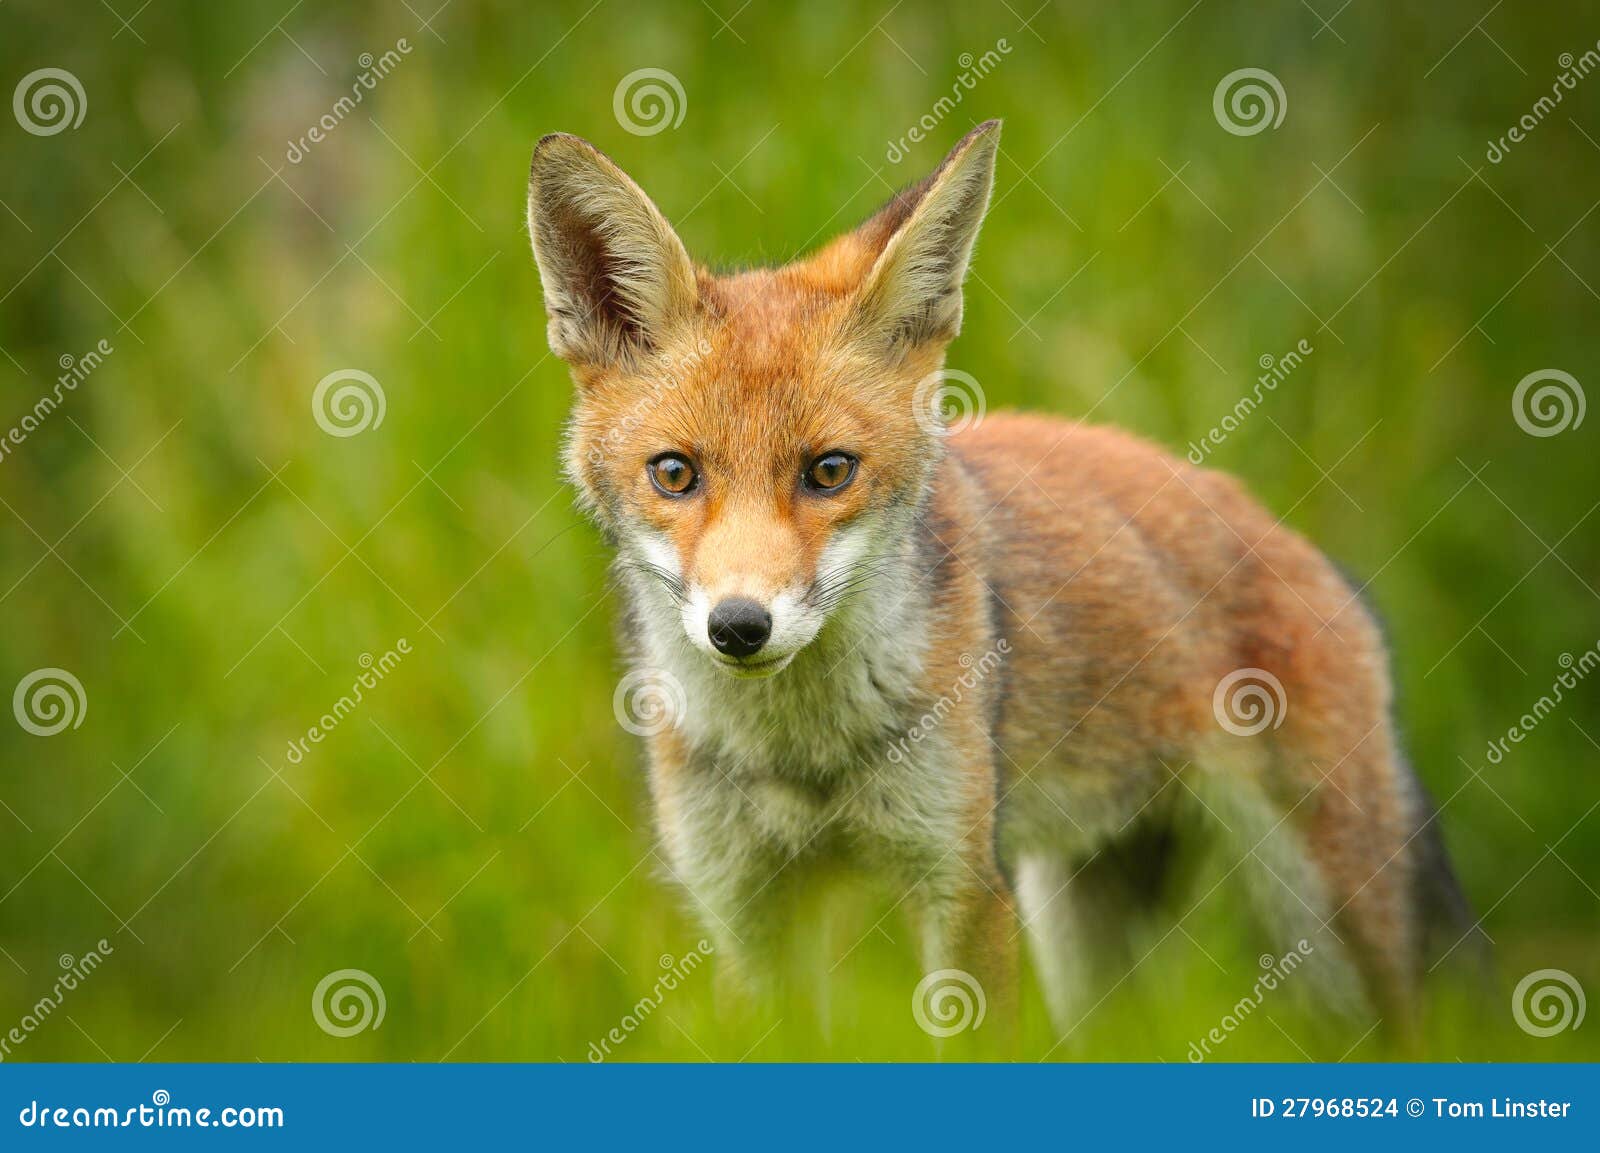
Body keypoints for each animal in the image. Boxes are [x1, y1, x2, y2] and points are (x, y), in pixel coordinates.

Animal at [525, 119, 1472, 1037]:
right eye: (674, 474)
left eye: (829, 471)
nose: (739, 626)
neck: (804, 758)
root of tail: (1298, 544)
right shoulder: (747, 915)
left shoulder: (965, 887)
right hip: (1086, 937)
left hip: (1326, 943)